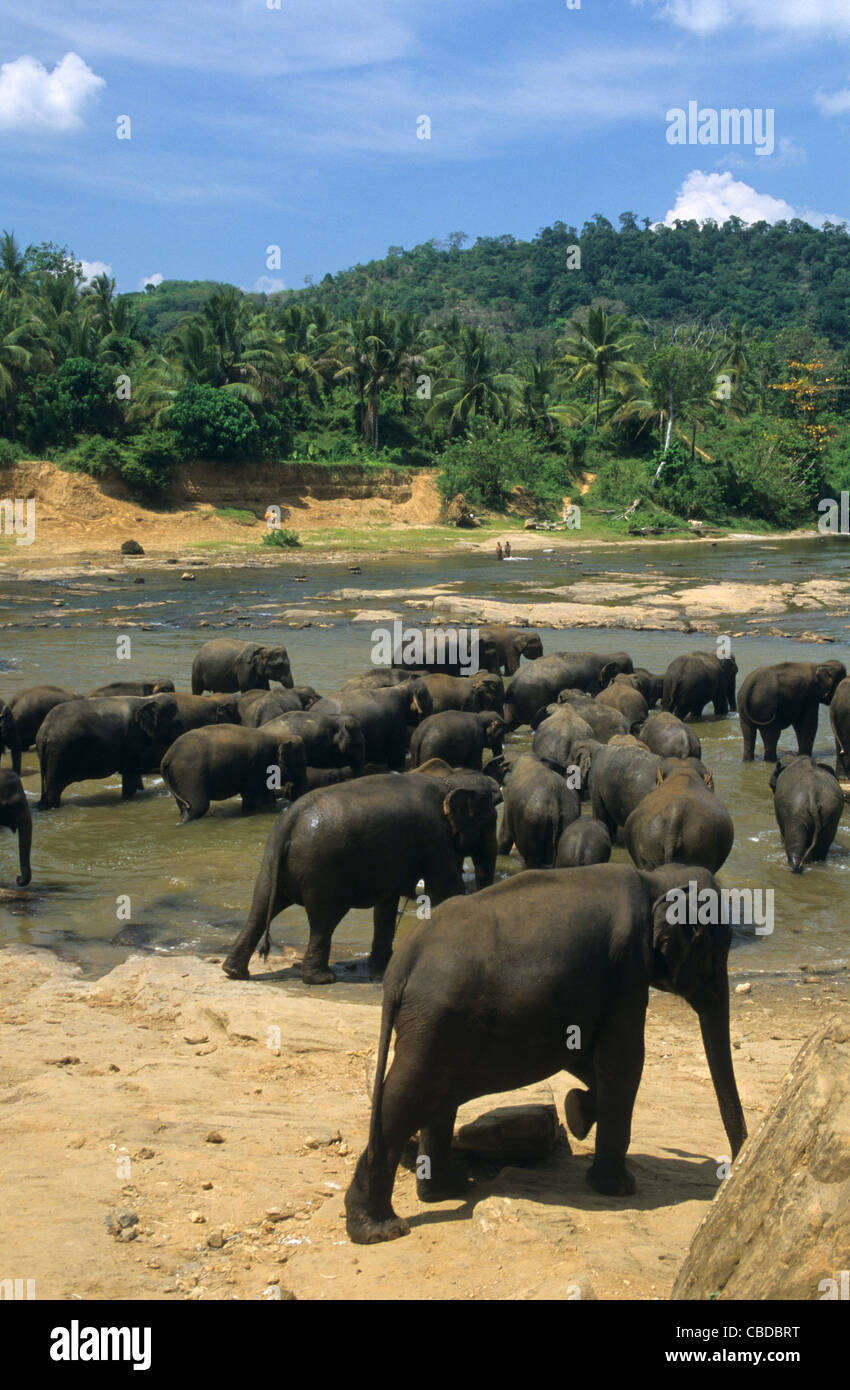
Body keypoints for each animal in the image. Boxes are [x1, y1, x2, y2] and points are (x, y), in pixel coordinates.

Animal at [36, 694, 182, 808]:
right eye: (176, 723)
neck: (147, 699)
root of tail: (44, 733)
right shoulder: (132, 738)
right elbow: (130, 772)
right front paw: (129, 798)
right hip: (58, 755)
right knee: (54, 790)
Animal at [161, 725, 307, 822]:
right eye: (301, 764)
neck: (278, 737)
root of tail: (167, 757)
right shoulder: (256, 766)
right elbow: (251, 797)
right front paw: (249, 813)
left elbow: (266, 795)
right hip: (190, 775)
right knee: (198, 807)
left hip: (176, 778)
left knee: (185, 805)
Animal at [221, 768, 501, 985]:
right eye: (492, 820)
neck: (448, 782)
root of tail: (290, 821)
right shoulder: (435, 837)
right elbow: (446, 890)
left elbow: (387, 905)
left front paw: (380, 969)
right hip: (324, 870)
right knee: (324, 920)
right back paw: (323, 979)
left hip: (272, 862)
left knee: (261, 905)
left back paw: (233, 971)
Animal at [343, 861, 746, 1244]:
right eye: (717, 949)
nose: (731, 1166)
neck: (655, 880)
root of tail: (401, 964)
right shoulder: (626, 969)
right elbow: (623, 1060)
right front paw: (619, 1189)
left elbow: (588, 1057)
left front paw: (578, 1113)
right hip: (434, 1021)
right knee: (407, 1095)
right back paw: (381, 1229)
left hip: (440, 1025)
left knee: (437, 1096)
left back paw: (448, 1190)